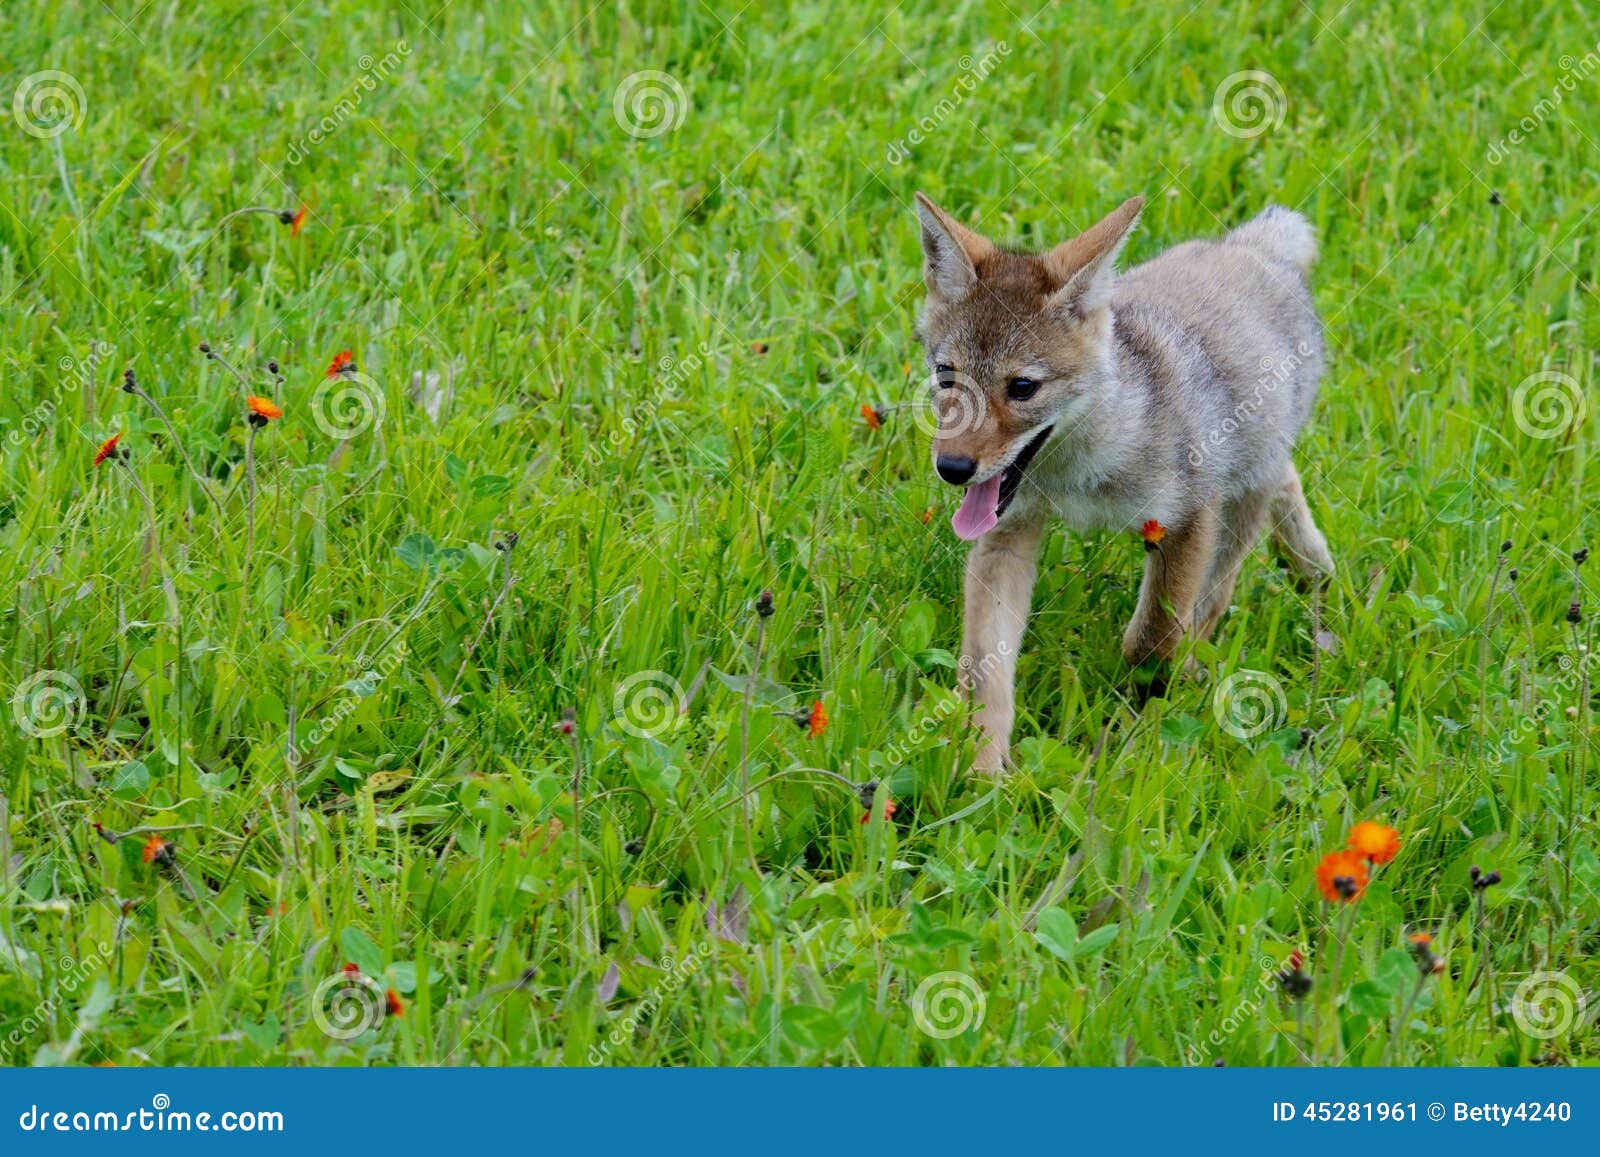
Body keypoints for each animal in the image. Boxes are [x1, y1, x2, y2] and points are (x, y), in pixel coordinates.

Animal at [914, 193, 1334, 773]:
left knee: (1221, 586)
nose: (952, 467)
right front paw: (981, 768)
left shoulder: (1191, 516)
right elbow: (984, 671)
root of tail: (1249, 247)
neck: (1077, 479)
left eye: (1022, 387)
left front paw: (1142, 726)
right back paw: (1311, 566)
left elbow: (1151, 641)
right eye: (946, 375)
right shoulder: (1007, 534)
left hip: (1244, 483)